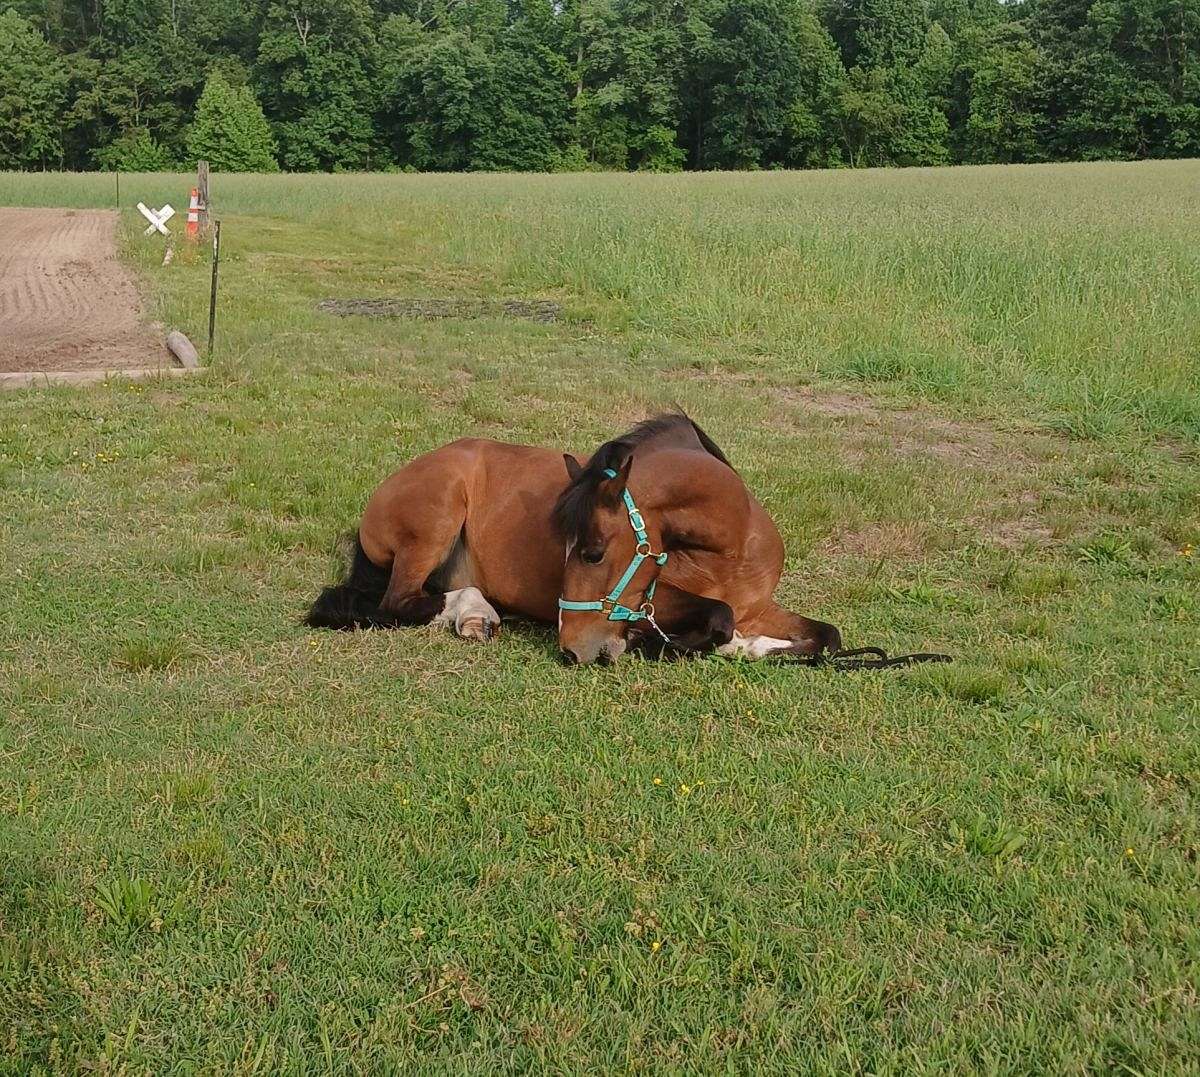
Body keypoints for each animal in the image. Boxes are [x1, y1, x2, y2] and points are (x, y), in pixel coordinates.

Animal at [306, 413, 842, 666]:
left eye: (592, 552)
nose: (569, 650)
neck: (734, 548)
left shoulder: (760, 606)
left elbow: (826, 637)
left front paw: (753, 647)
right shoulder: (656, 598)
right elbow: (719, 616)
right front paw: (652, 642)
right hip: (434, 522)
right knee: (398, 602)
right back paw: (475, 614)